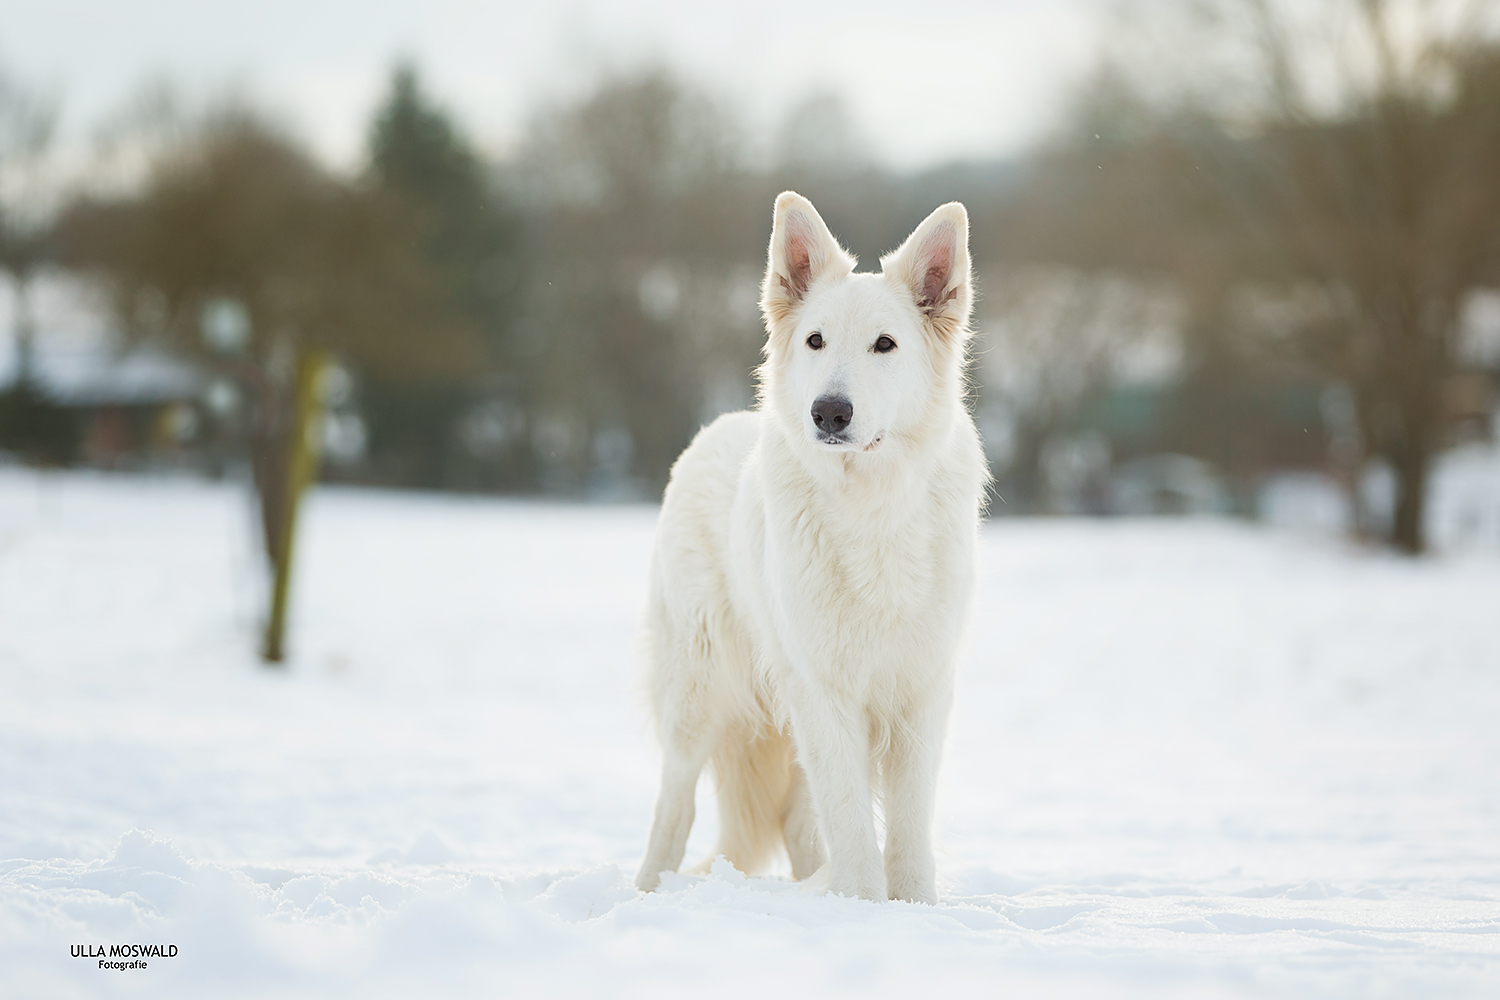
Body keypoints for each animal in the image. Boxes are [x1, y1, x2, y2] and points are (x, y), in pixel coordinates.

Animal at [639, 191, 990, 905]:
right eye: (815, 340)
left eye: (884, 344)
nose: (828, 412)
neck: (871, 509)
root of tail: (712, 433)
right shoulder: (824, 689)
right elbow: (851, 819)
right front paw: (860, 905)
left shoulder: (921, 689)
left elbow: (906, 824)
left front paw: (914, 908)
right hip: (698, 695)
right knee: (675, 806)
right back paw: (644, 892)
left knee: (799, 822)